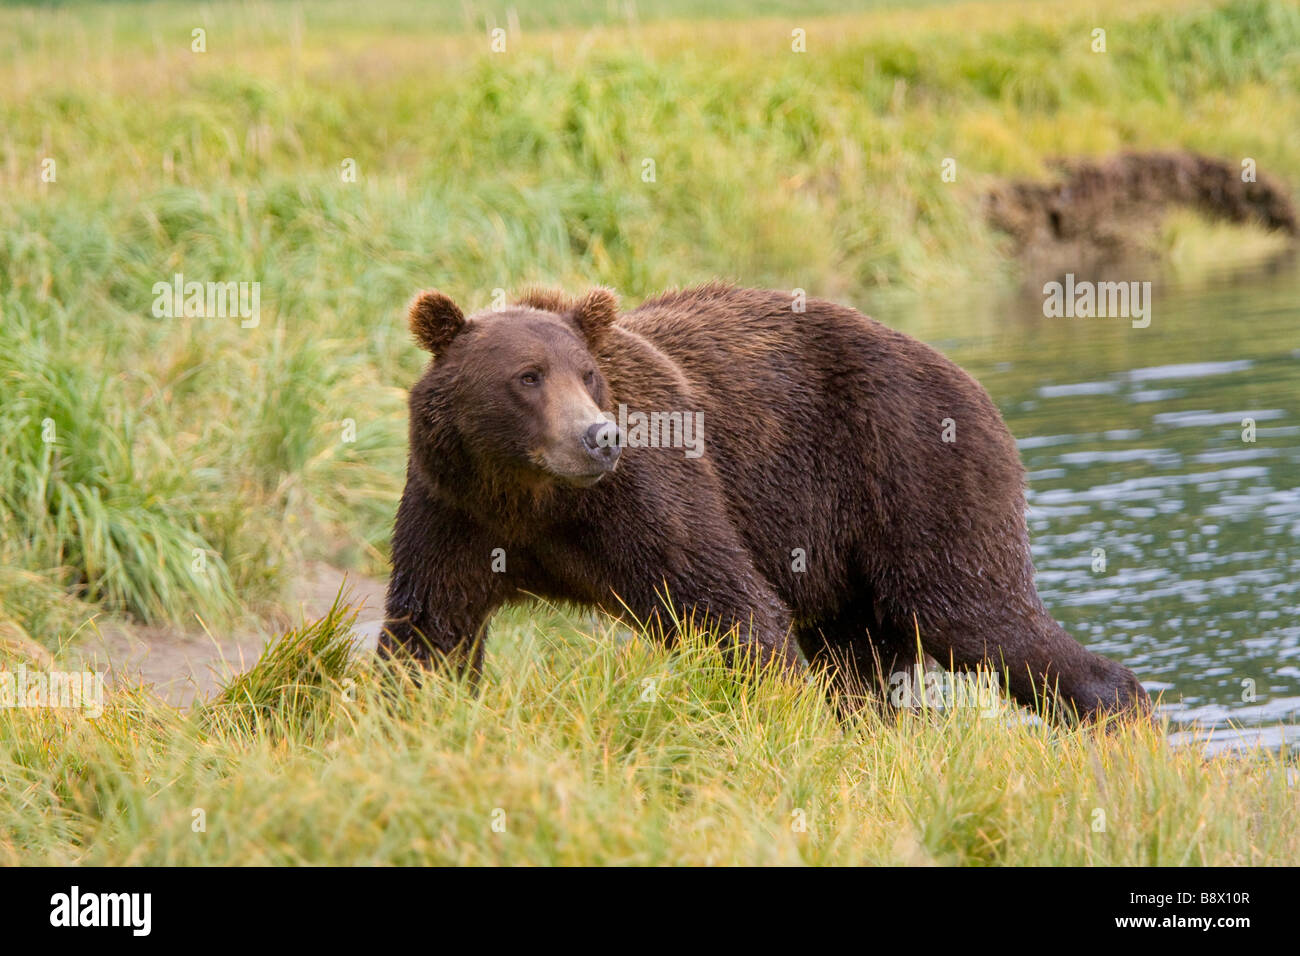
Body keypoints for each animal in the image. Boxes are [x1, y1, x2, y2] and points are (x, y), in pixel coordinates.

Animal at [380, 282, 1150, 722]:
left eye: (589, 374)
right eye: (527, 376)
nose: (598, 439)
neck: (534, 499)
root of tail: (969, 378)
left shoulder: (650, 495)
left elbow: (729, 605)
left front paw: (783, 718)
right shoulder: (455, 511)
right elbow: (430, 631)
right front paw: (409, 715)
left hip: (911, 468)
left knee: (975, 614)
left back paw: (1120, 713)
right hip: (846, 562)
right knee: (864, 662)